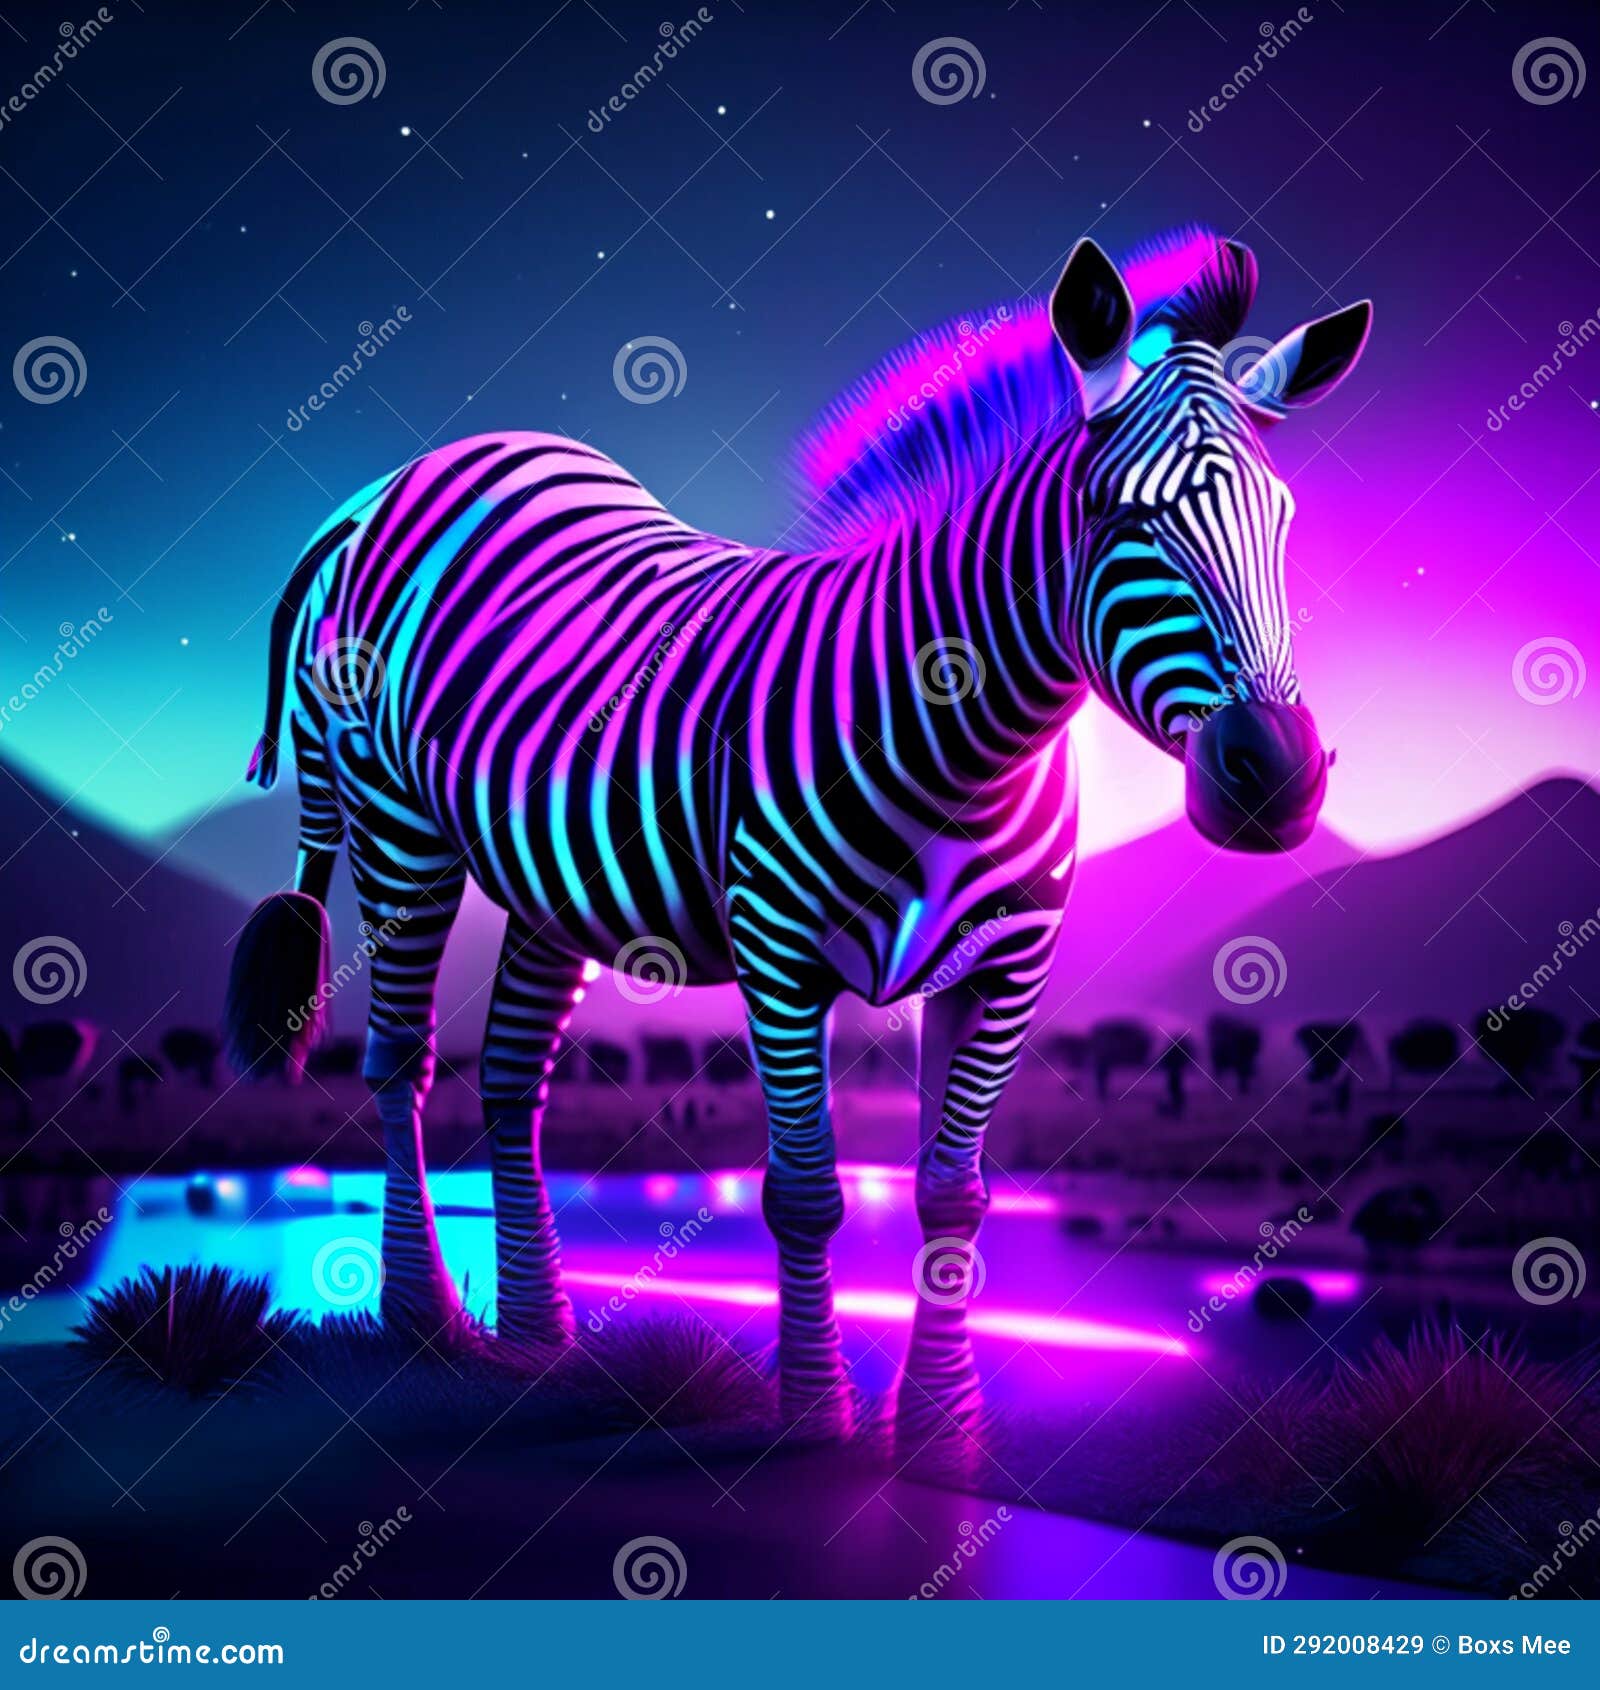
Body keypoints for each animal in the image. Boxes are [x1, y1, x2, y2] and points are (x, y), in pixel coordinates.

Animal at [225, 226, 1369, 1430]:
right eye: (1121, 518)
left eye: (1284, 523)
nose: (1277, 776)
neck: (971, 747)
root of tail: (402, 475)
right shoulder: (779, 953)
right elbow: (808, 1192)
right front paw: (819, 1418)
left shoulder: (1008, 963)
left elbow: (953, 1195)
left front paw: (940, 1428)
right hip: (397, 822)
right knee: (402, 1058)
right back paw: (424, 1318)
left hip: (551, 870)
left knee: (510, 1072)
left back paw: (537, 1338)